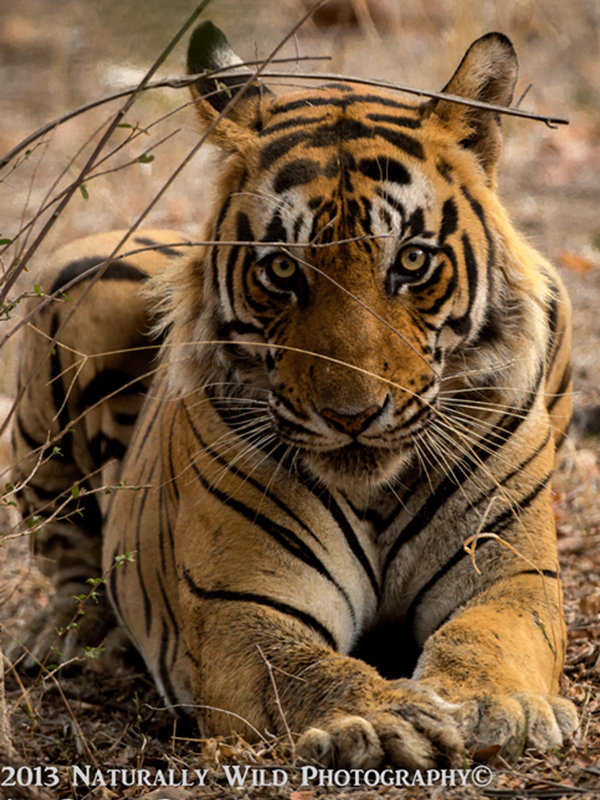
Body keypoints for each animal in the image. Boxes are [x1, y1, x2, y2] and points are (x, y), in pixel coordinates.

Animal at [10, 22, 578, 770]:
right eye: (282, 270)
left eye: (412, 261)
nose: (353, 416)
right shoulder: (243, 602)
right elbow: (303, 669)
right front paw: (381, 720)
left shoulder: (509, 573)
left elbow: (490, 633)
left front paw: (499, 705)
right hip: (78, 296)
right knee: (69, 554)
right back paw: (74, 639)